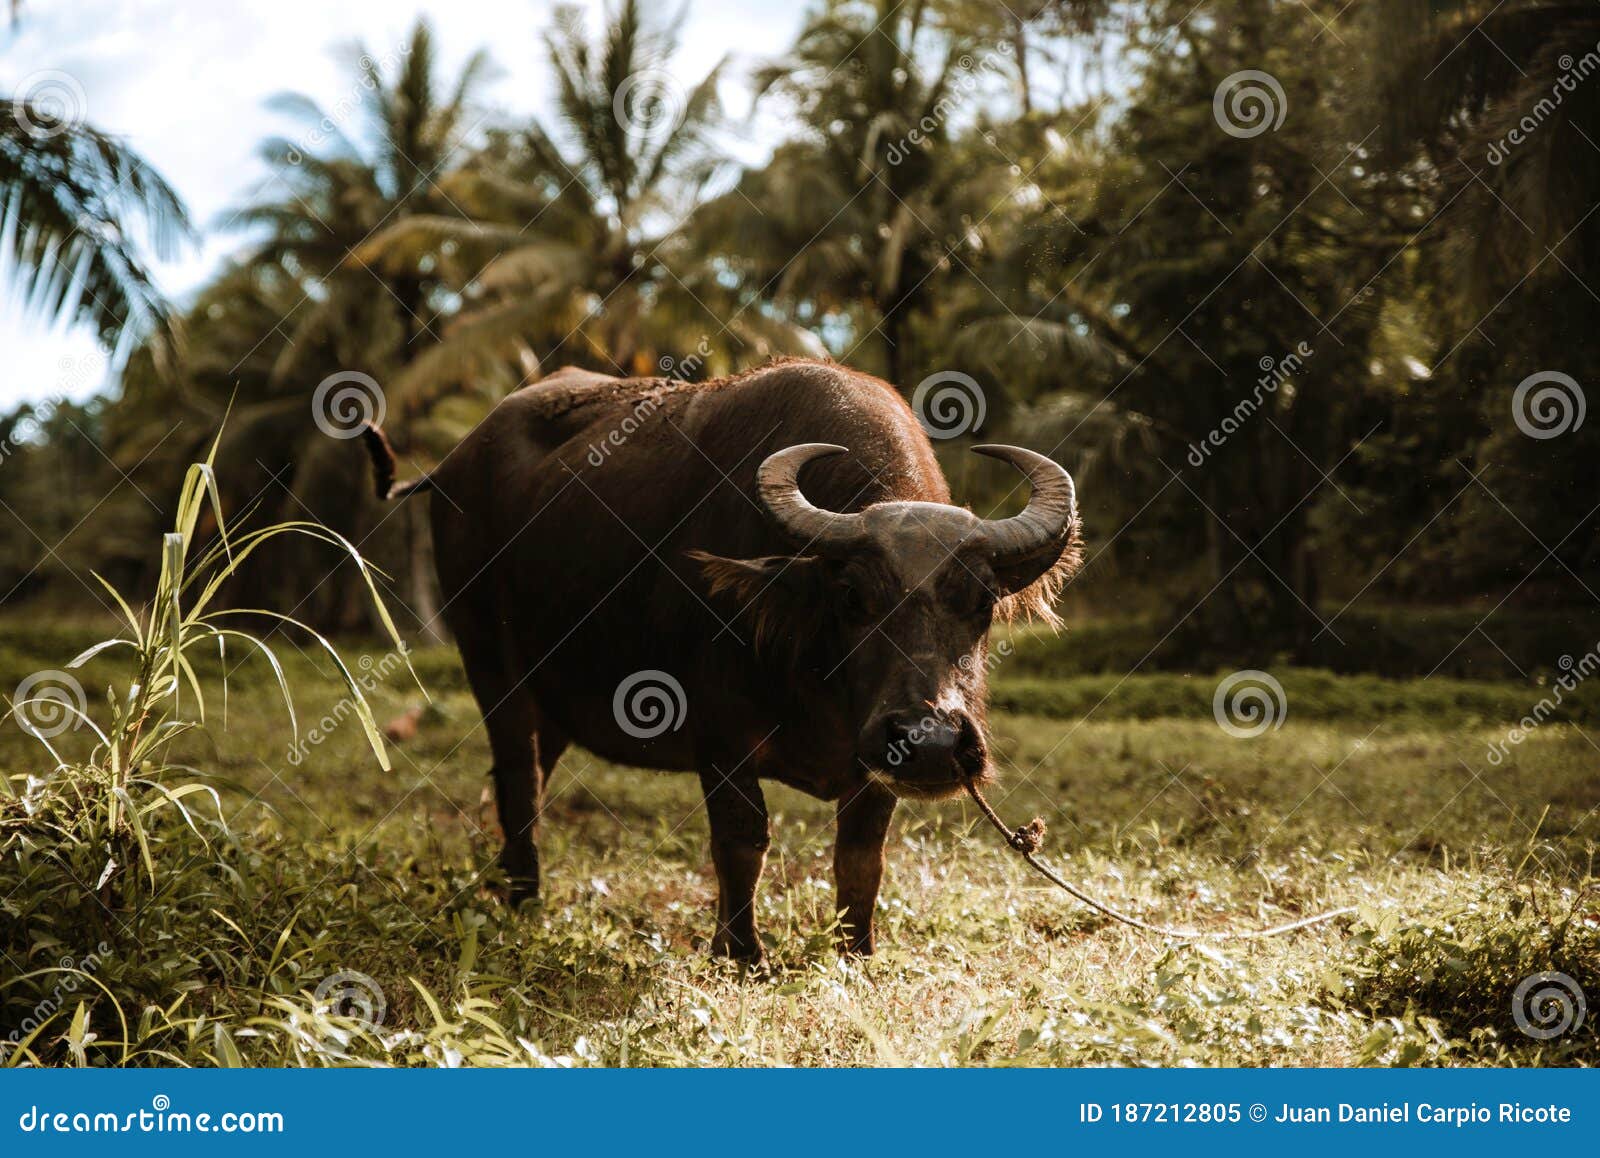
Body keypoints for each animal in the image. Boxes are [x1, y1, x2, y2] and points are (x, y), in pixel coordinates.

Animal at [363, 358, 1081, 959]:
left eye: (983, 601)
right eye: (852, 596)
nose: (931, 742)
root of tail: (455, 461)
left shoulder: (873, 763)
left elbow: (861, 853)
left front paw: (857, 951)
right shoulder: (718, 731)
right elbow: (743, 837)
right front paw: (740, 953)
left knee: (533, 778)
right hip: (491, 664)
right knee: (518, 781)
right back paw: (525, 904)